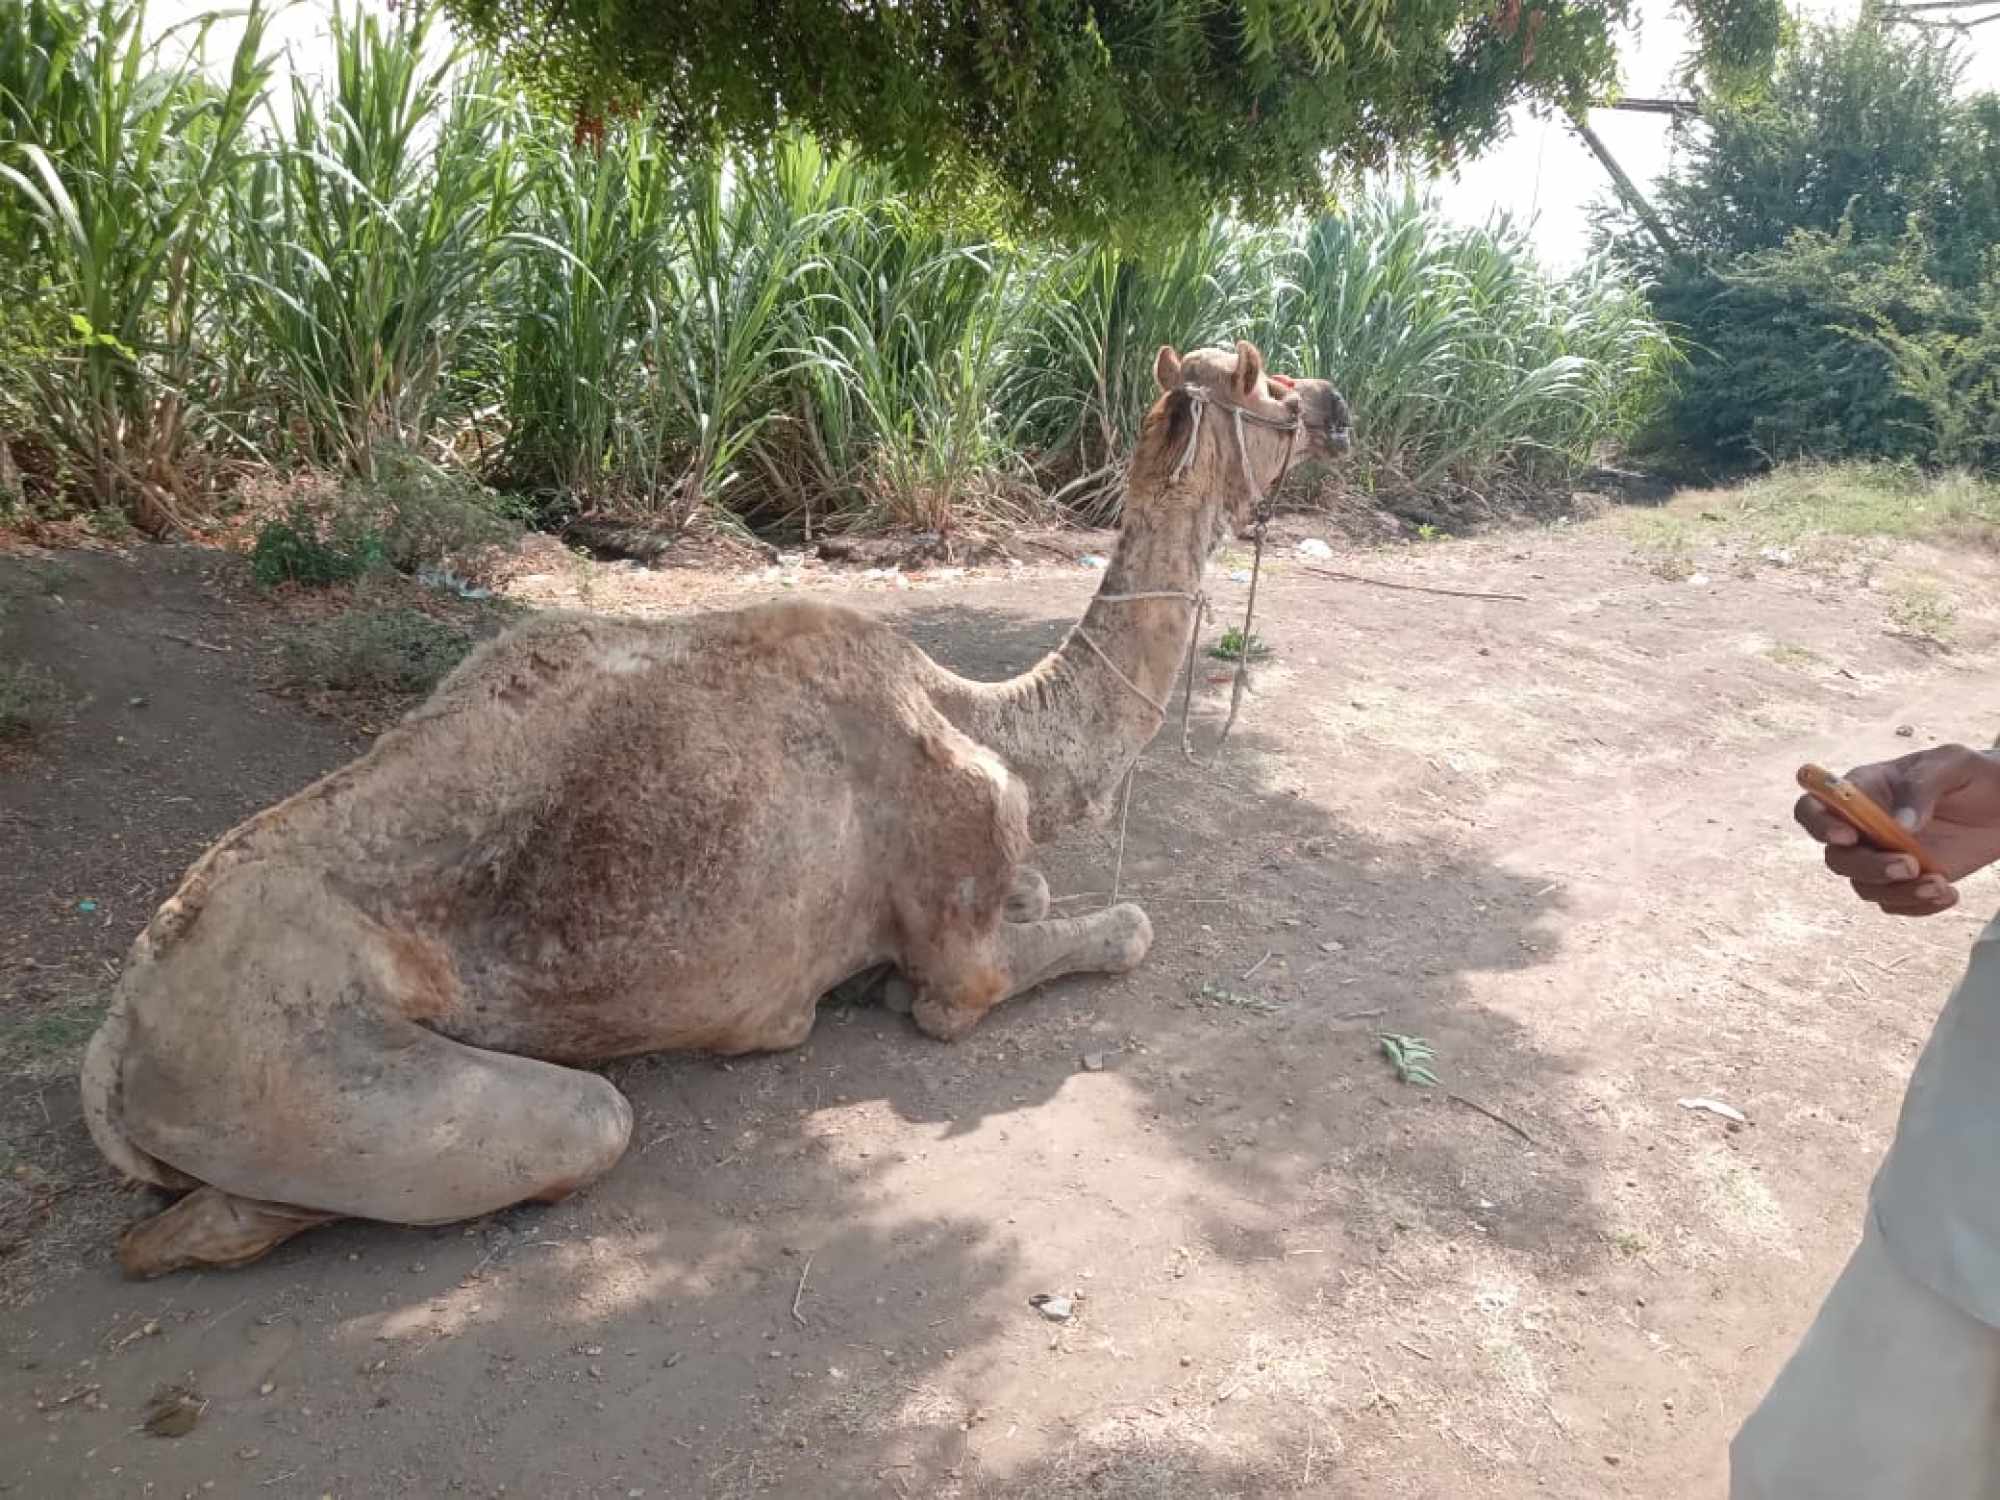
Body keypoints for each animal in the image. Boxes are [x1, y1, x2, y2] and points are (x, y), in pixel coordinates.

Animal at [81, 341, 1352, 1276]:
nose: (1338, 405)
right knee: (559, 1128)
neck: (997, 727)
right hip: (289, 1057)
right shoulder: (962, 946)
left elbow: (1042, 890)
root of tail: (116, 1043)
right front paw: (890, 989)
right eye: (1268, 387)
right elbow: (1094, 939)